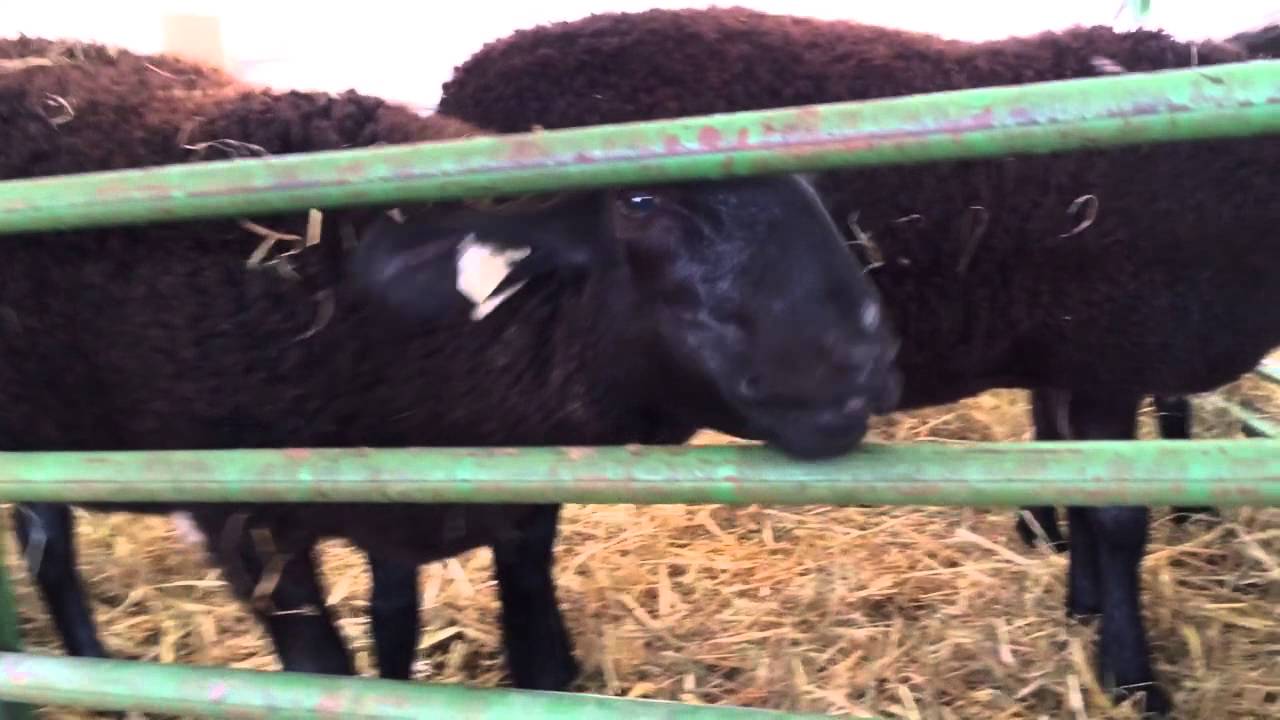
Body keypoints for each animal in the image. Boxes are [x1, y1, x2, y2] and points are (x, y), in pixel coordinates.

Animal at [0, 36, 901, 692]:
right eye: (640, 202)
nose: (864, 363)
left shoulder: (493, 506)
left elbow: (510, 656)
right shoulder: (238, 520)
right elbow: (324, 670)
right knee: (52, 551)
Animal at [436, 7, 1280, 713]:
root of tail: (464, 82)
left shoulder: (1078, 356)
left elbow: (1072, 477)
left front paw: (1084, 608)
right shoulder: (1112, 351)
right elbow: (1116, 517)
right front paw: (1133, 679)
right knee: (520, 531)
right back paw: (545, 677)